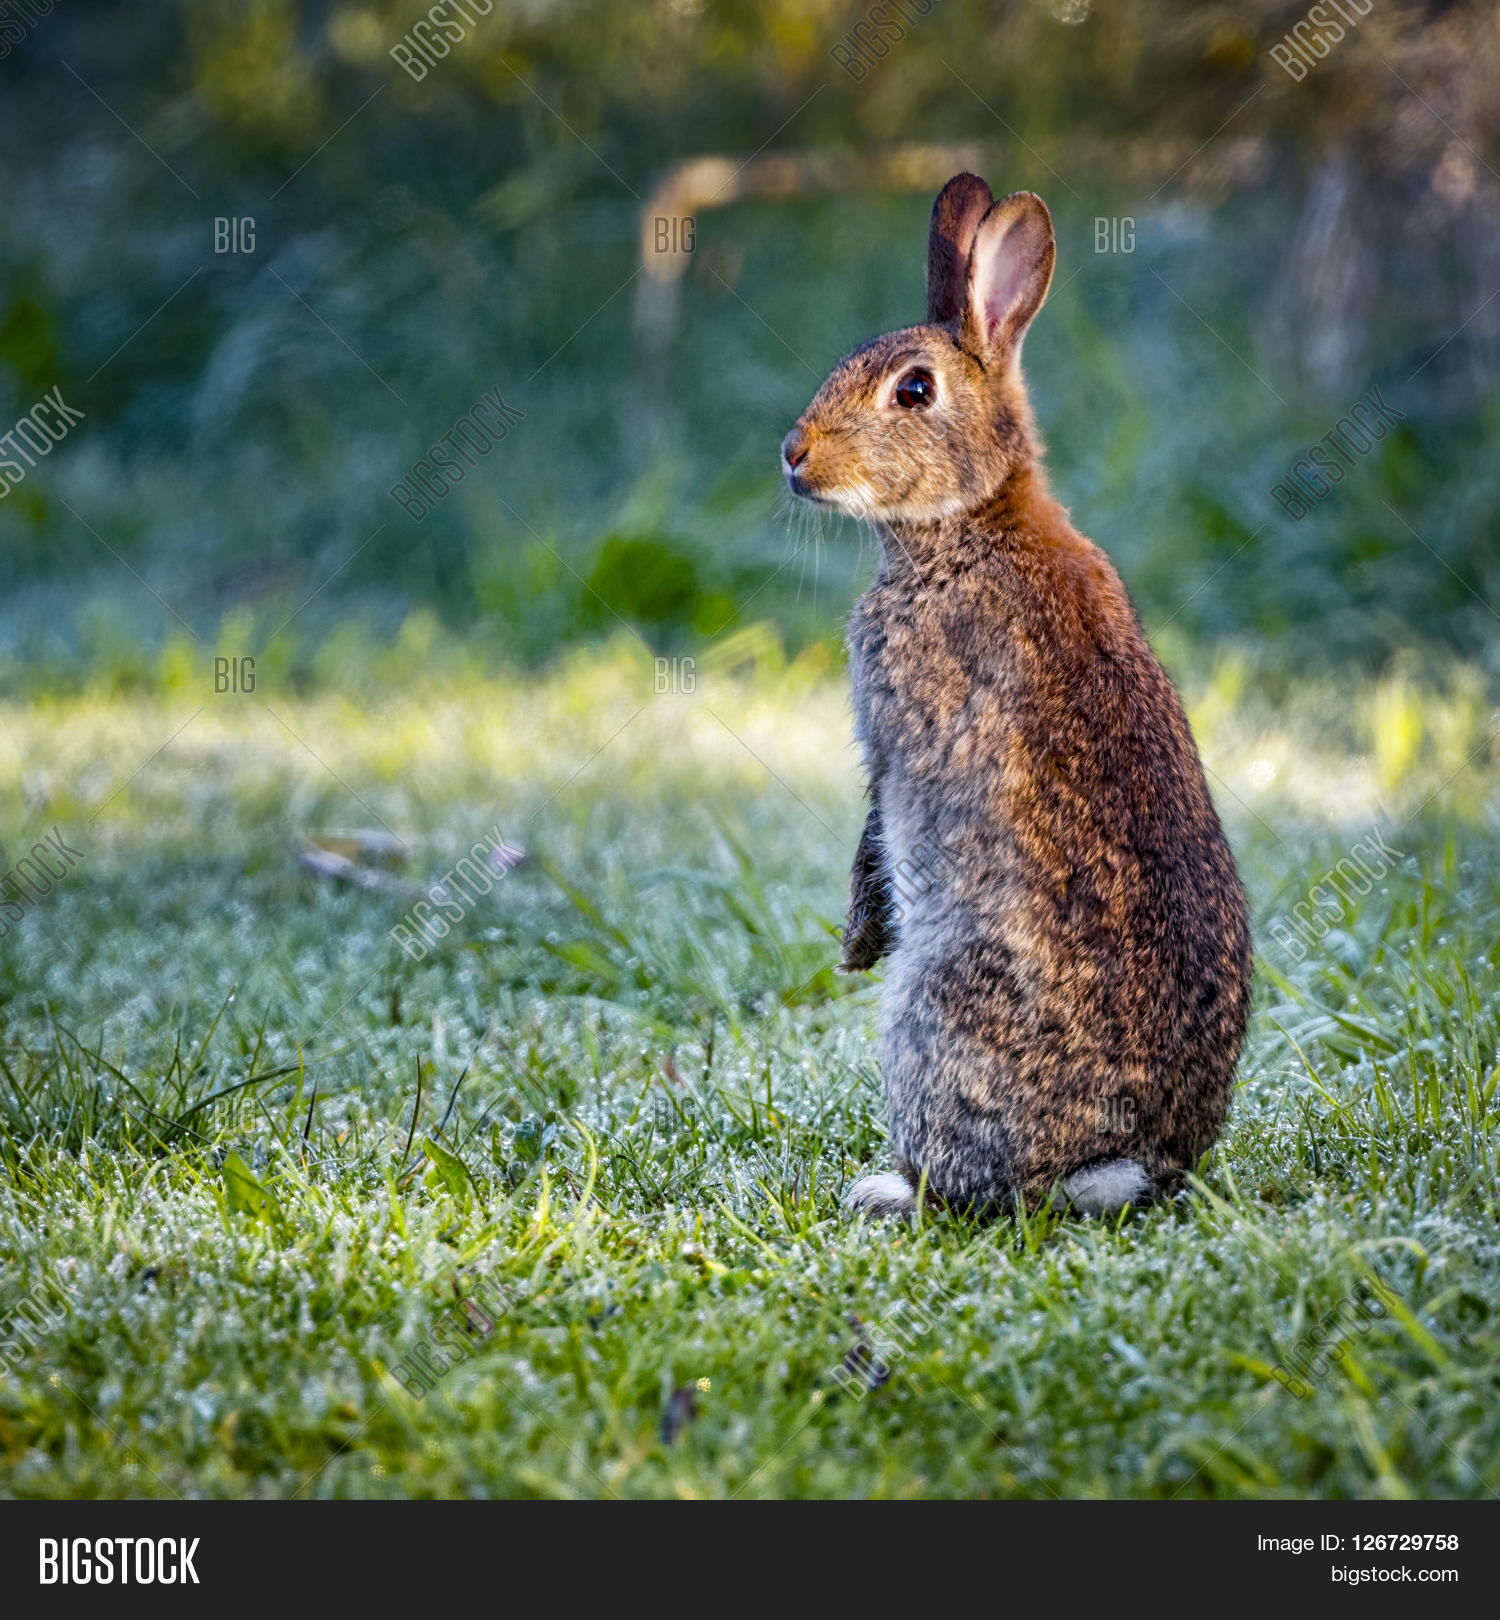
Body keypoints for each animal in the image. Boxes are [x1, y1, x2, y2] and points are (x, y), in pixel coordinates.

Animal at [780, 173, 1251, 1219]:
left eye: (914, 390)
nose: (793, 454)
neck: (970, 520)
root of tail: (1123, 1161)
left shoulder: (893, 735)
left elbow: (873, 822)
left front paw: (855, 941)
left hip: (933, 1010)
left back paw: (886, 1191)